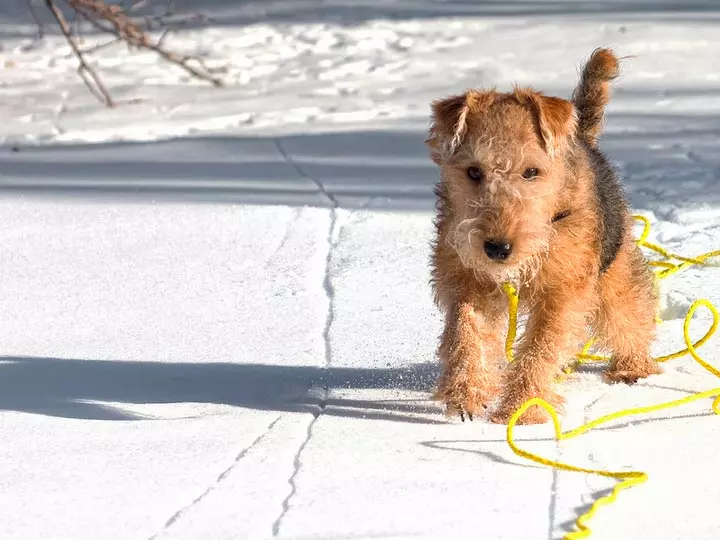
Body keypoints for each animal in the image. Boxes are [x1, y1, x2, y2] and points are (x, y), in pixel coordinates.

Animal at [424, 48, 660, 424]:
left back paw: (632, 368)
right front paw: (466, 394)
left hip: (615, 271)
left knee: (631, 314)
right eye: (473, 171)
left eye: (531, 171)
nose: (498, 248)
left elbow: (541, 347)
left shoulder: (562, 291)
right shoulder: (467, 281)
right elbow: (466, 331)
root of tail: (582, 138)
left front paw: (522, 410)